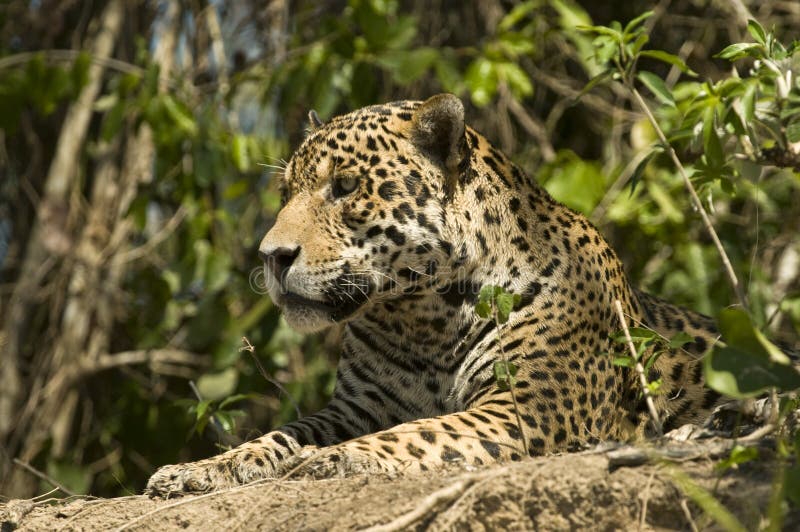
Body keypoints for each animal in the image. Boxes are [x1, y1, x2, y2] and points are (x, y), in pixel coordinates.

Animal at [146, 93, 722, 496]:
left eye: (345, 187)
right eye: (286, 192)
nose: (271, 256)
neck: (422, 316)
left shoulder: (530, 407)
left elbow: (421, 431)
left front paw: (326, 460)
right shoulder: (357, 407)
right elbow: (281, 433)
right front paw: (199, 469)